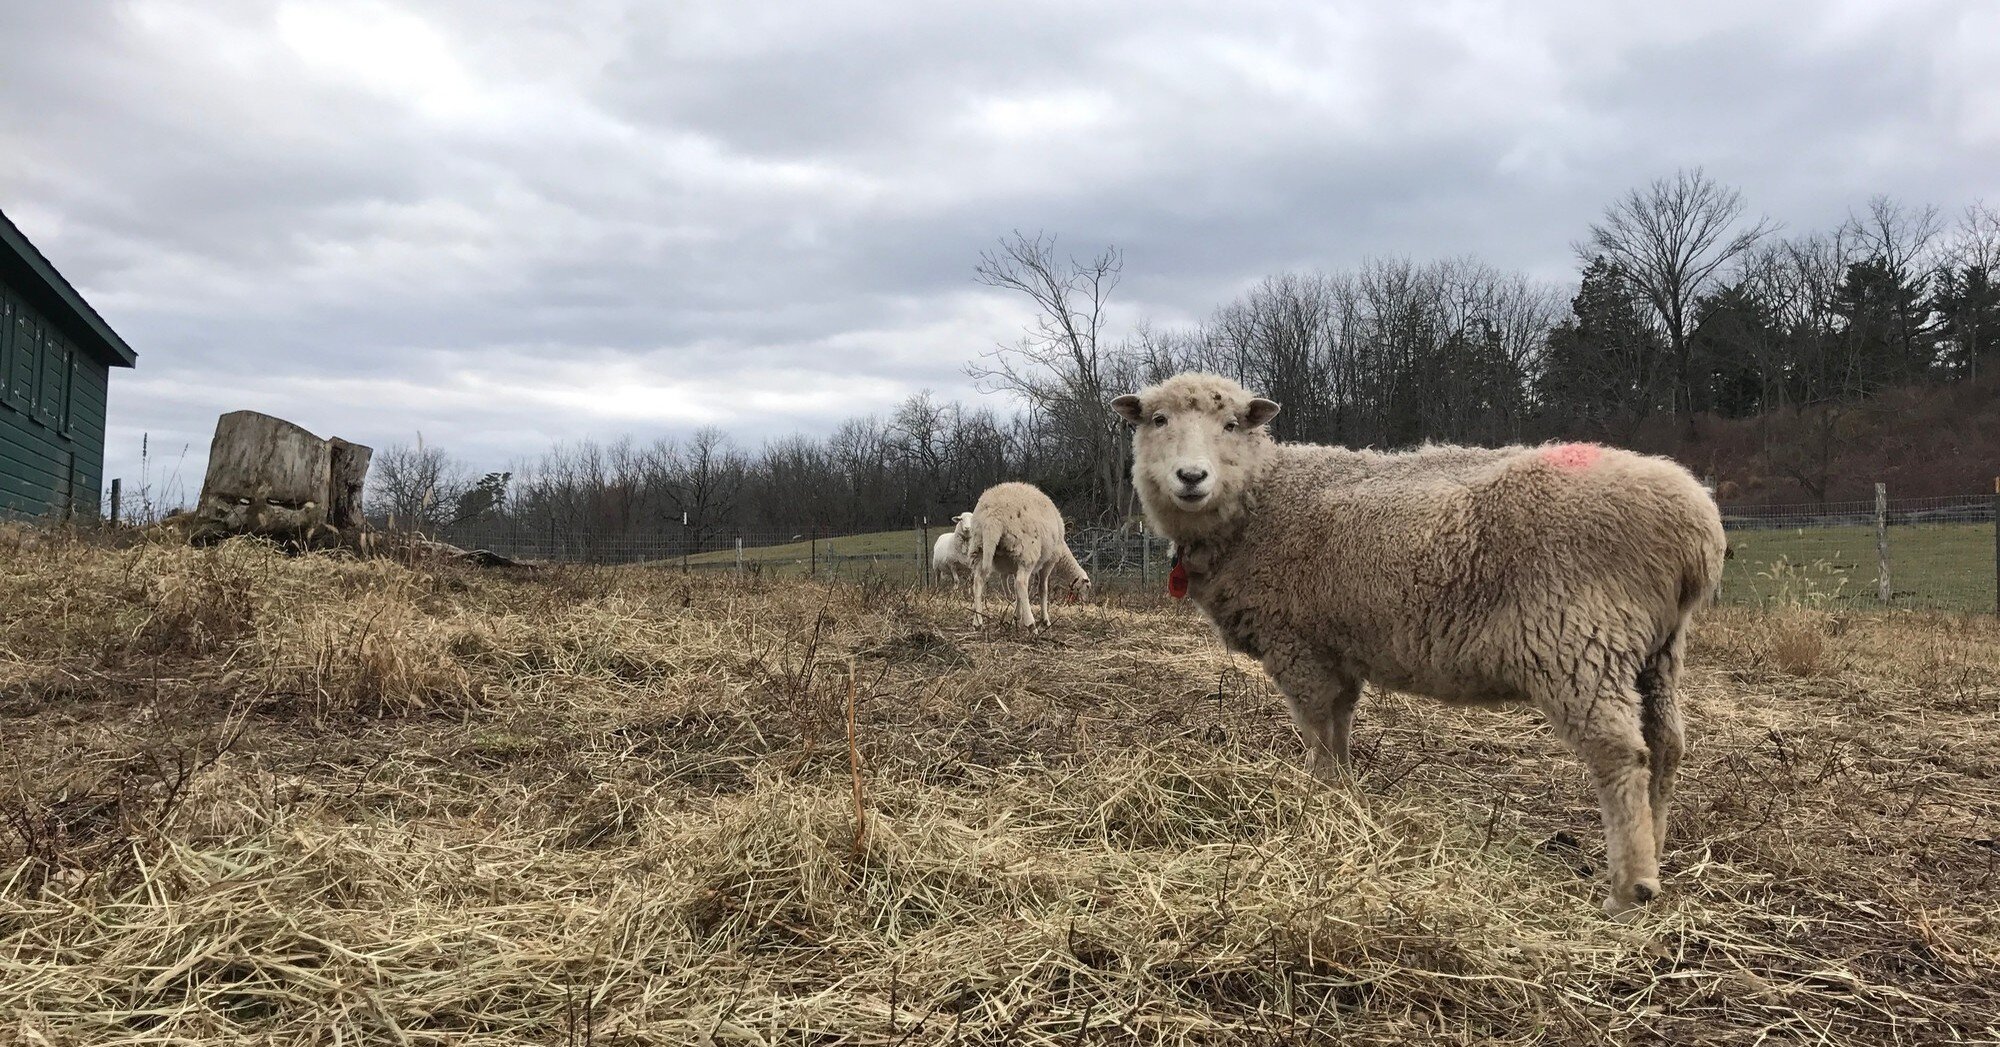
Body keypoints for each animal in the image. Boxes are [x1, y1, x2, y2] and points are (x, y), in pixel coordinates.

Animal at [966, 482, 1092, 628]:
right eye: (1087, 587)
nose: (1086, 602)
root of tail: (993, 517)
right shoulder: (1048, 562)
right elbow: (1042, 588)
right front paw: (1045, 619)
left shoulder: (1015, 563)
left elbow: (1017, 591)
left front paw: (1016, 615)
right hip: (1026, 551)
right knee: (1021, 582)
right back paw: (1031, 625)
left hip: (978, 547)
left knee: (978, 580)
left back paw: (978, 621)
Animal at [1112, 373, 1725, 916]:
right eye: (1158, 420)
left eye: (1232, 423)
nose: (1192, 476)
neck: (1261, 499)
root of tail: (1696, 522)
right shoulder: (1338, 647)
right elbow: (1340, 727)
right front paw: (1345, 799)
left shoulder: (1298, 643)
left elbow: (1315, 731)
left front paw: (1317, 803)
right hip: (1658, 649)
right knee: (1666, 746)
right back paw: (1656, 853)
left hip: (1578, 640)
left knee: (1620, 754)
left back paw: (1628, 891)